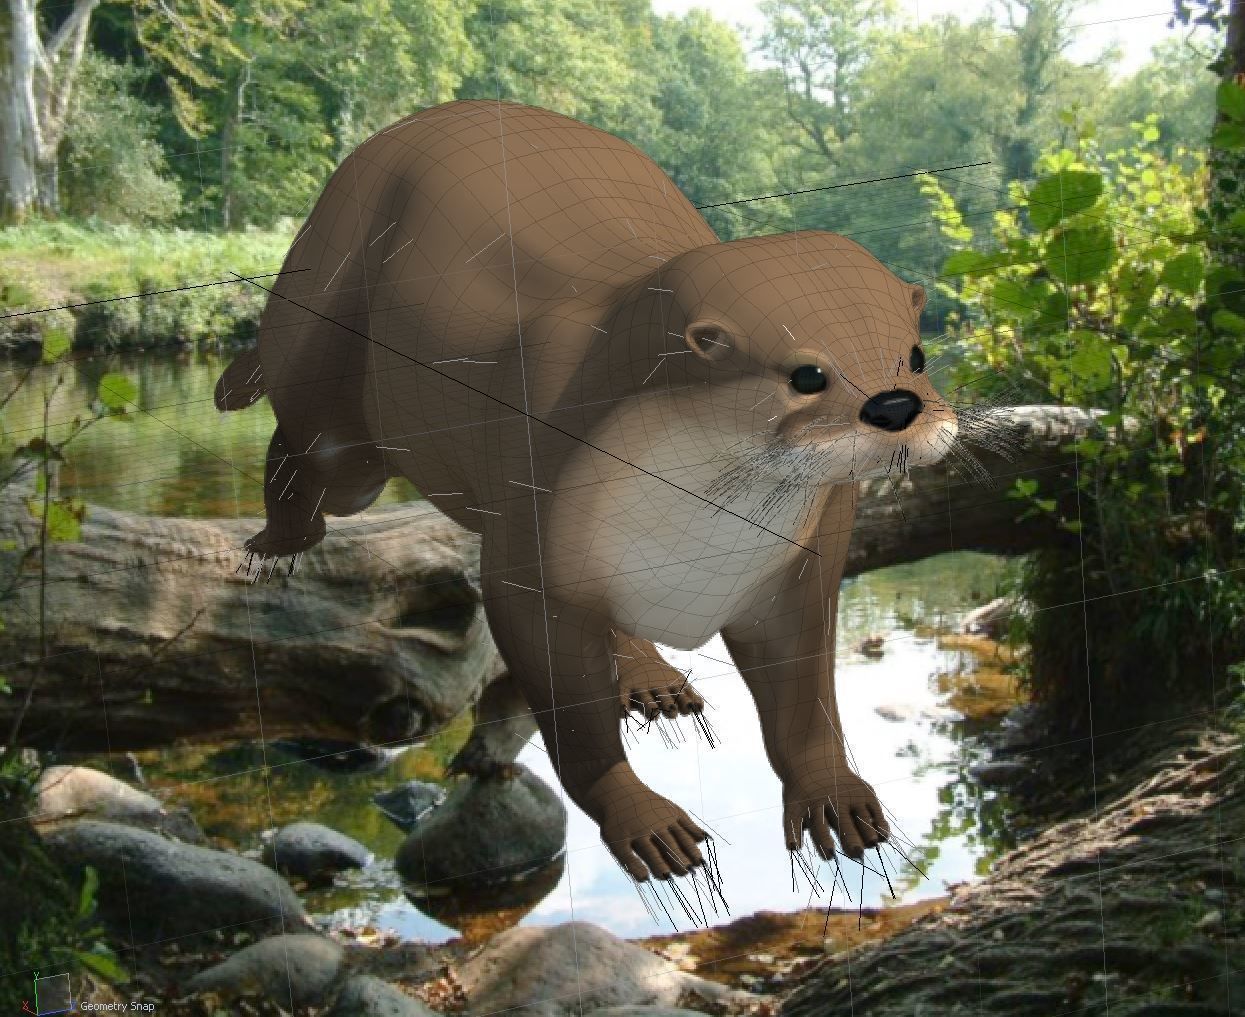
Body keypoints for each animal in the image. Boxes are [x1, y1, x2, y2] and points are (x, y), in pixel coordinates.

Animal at [216, 99, 958, 884]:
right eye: (807, 374)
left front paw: (832, 794)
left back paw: (649, 674)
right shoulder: (534, 521)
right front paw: (641, 819)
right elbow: (567, 705)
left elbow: (805, 696)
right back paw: (277, 544)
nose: (895, 406)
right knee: (305, 443)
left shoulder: (801, 564)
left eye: (916, 356)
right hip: (333, 354)